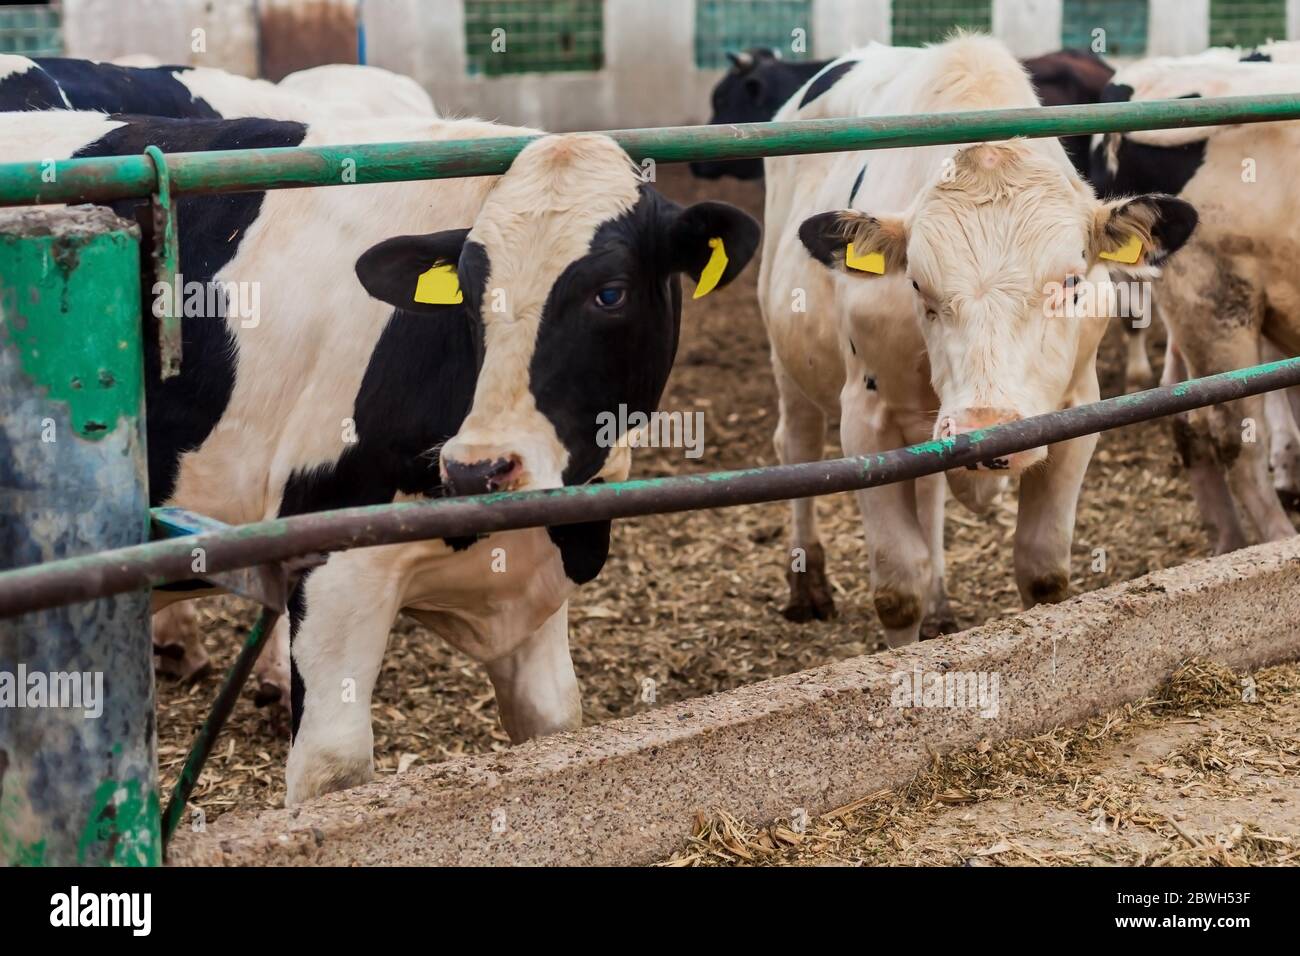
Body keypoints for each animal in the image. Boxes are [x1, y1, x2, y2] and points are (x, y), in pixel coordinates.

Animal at [3, 109, 759, 801]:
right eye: (468, 296)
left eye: (611, 293)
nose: (478, 469)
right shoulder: (332, 564)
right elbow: (334, 772)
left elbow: (554, 725)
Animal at [761, 36, 1196, 641]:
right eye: (917, 285)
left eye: (1070, 282)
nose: (986, 431)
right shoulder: (865, 421)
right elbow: (898, 588)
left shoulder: (1078, 410)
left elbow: (1042, 568)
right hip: (790, 360)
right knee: (796, 445)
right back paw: (808, 586)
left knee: (929, 493)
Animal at [1089, 57, 1300, 554]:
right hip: (1219, 300)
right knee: (1236, 437)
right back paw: (1276, 540)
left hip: (1188, 305)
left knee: (1187, 415)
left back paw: (1229, 539)